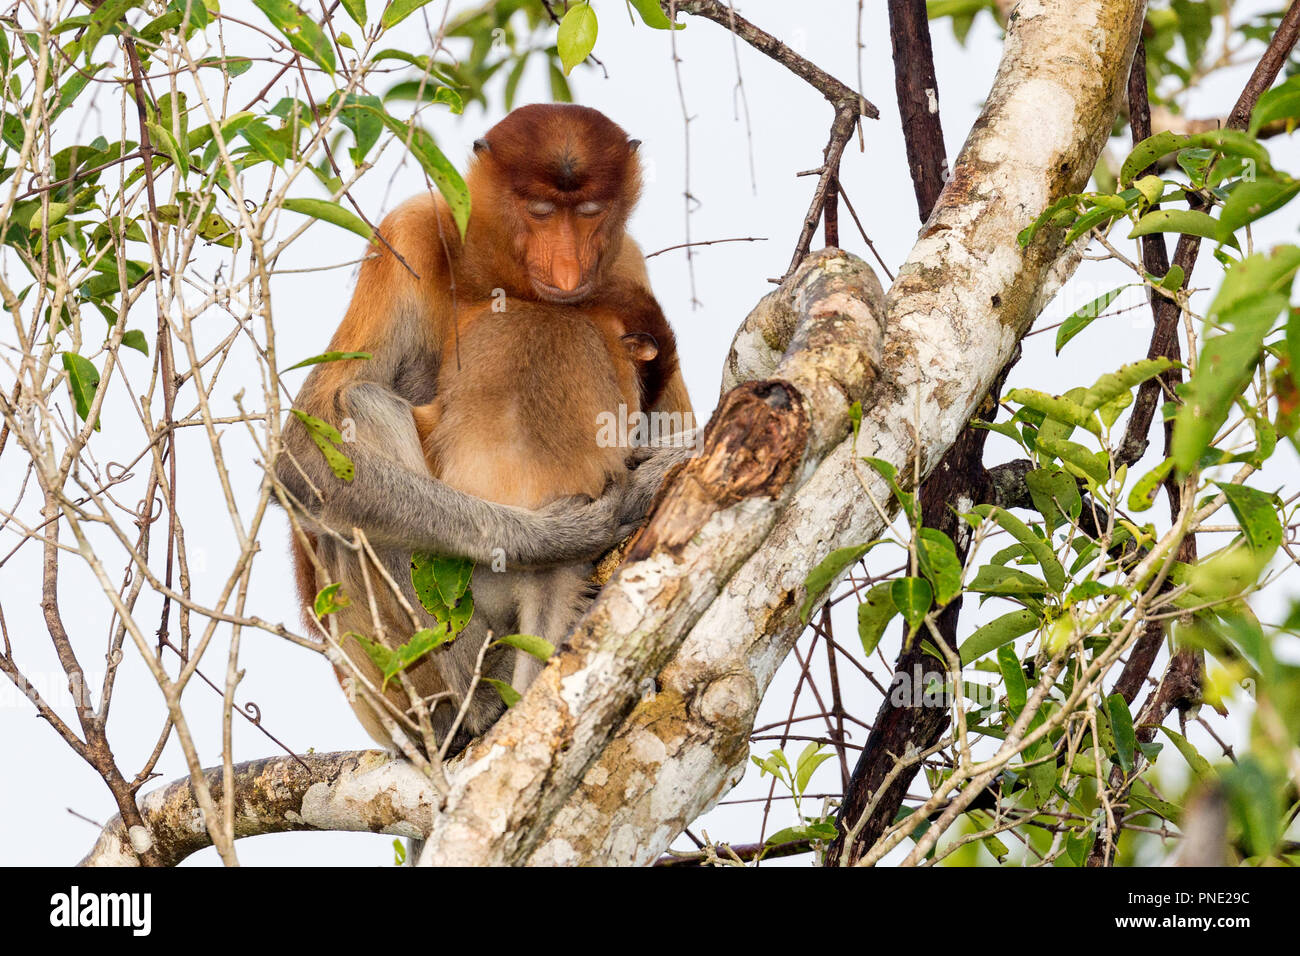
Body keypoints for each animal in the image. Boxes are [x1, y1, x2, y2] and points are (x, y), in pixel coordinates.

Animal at [276, 104, 695, 755]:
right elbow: (301, 450)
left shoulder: (625, 259)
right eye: (540, 211)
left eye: (590, 213)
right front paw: (559, 536)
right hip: (387, 688)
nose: (569, 271)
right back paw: (475, 703)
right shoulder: (408, 235)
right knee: (361, 409)